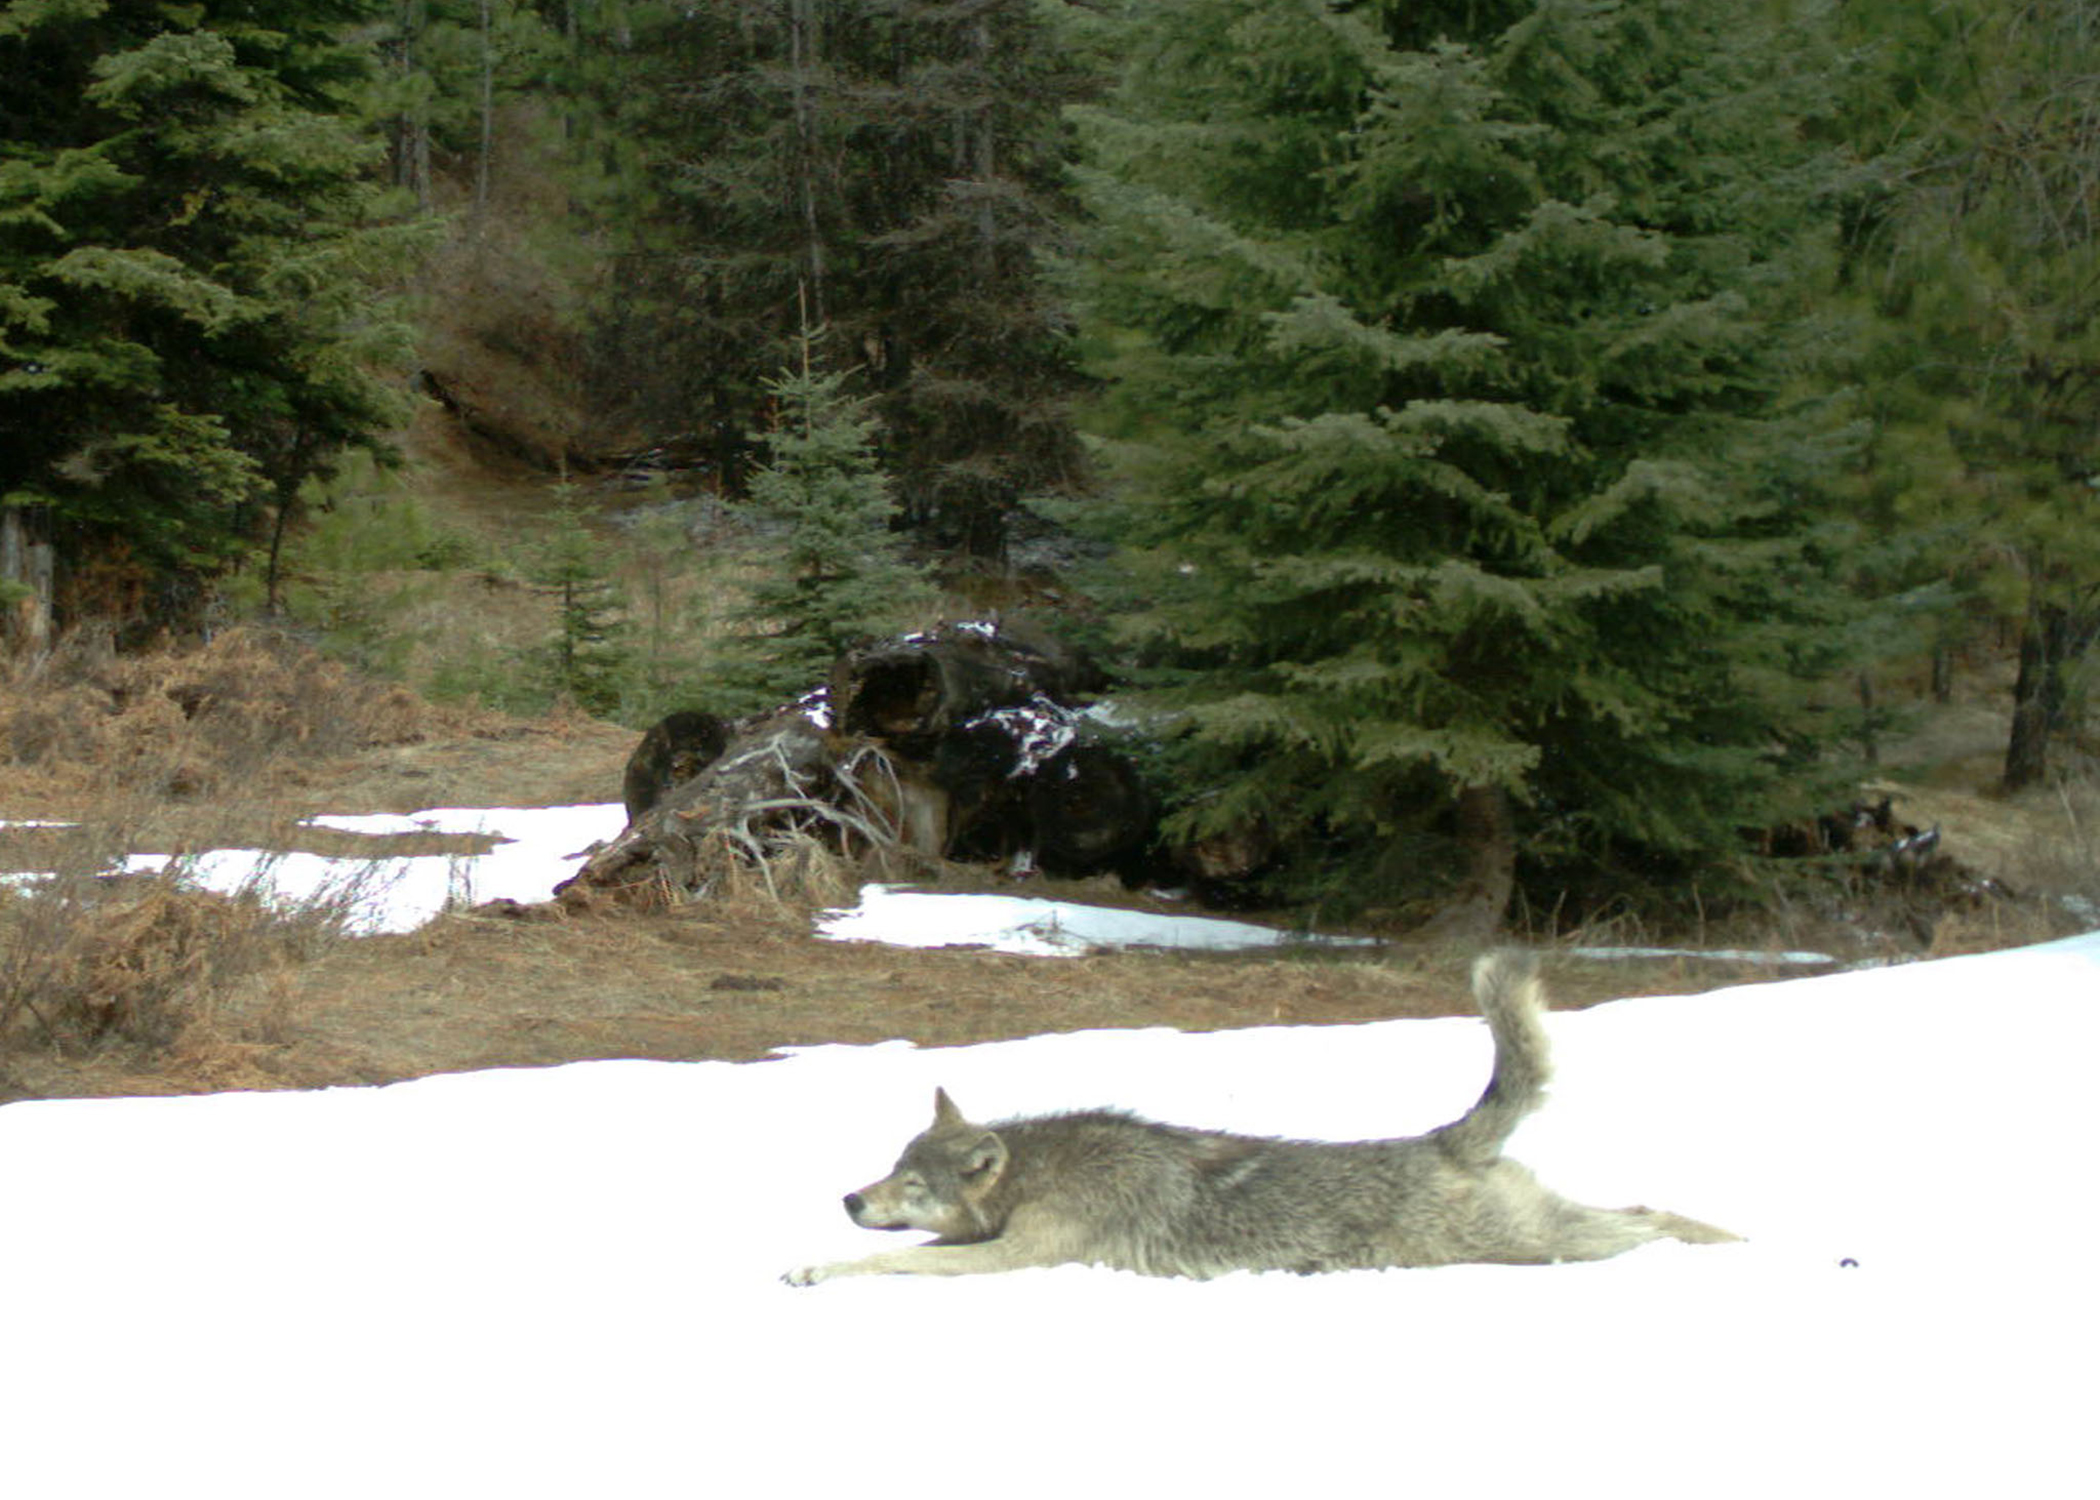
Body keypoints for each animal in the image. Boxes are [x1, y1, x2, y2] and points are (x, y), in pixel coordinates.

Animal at [783, 953, 1737, 1284]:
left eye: (909, 1181)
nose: (849, 1199)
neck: (1048, 1172)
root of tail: (1441, 1140)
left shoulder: (1019, 1256)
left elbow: (893, 1265)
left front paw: (822, 1271)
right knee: (1649, 1207)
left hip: (1526, 1246)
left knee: (1642, 1224)